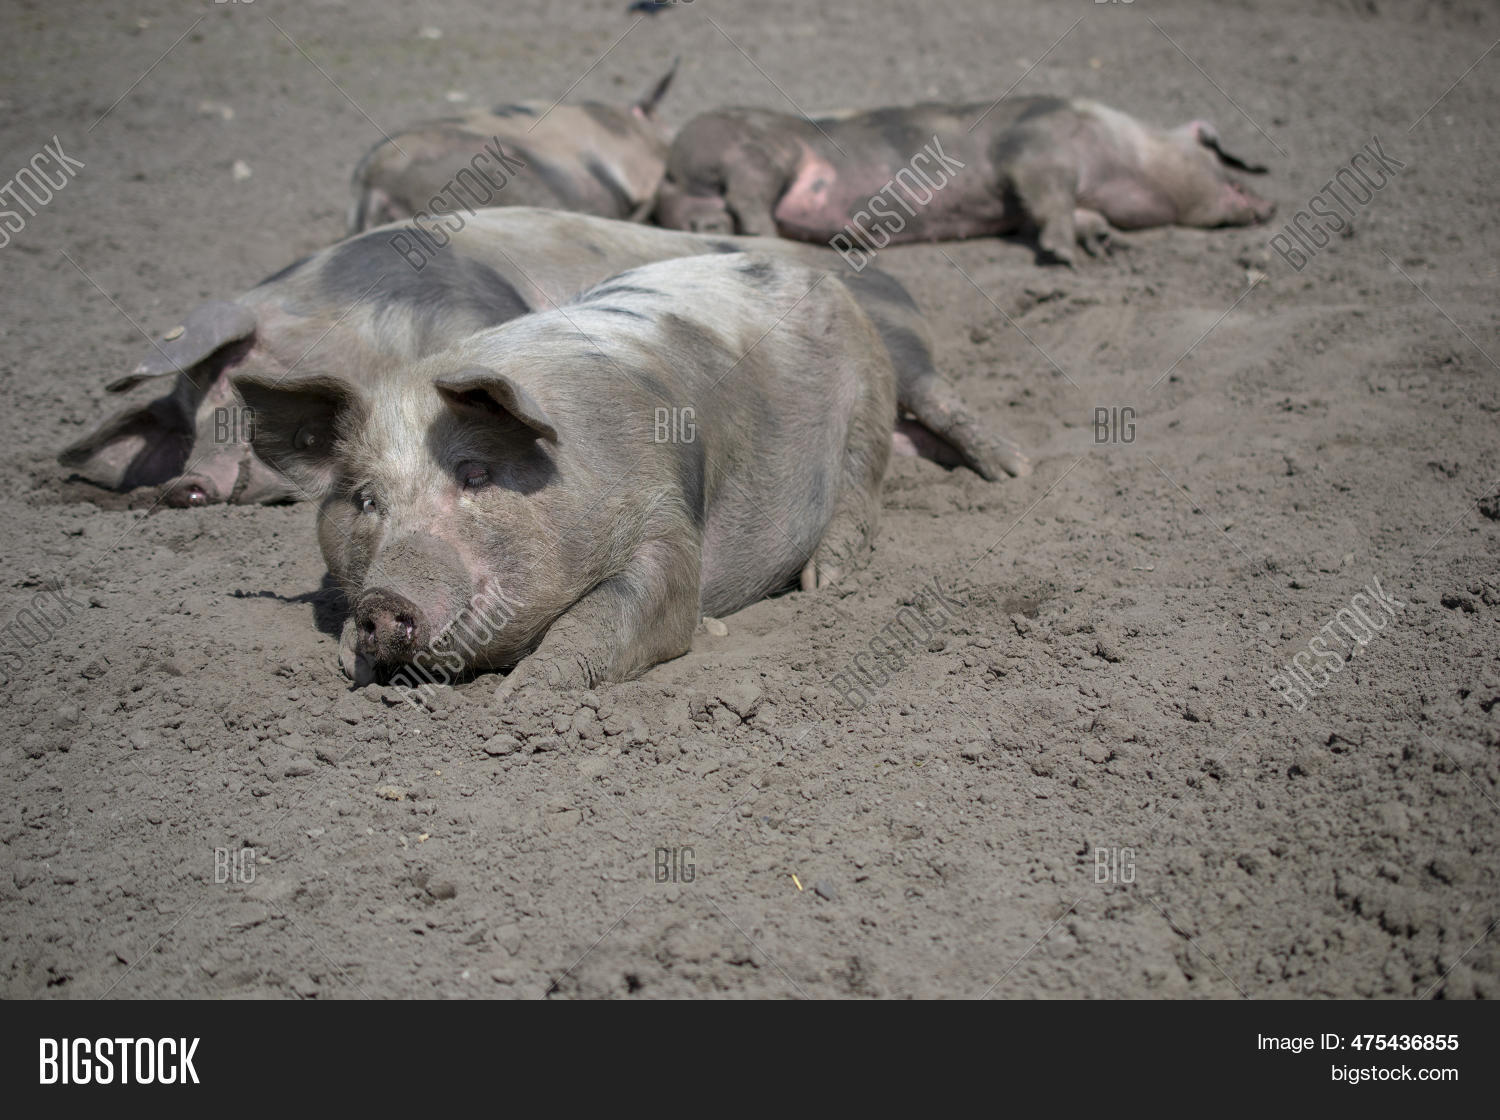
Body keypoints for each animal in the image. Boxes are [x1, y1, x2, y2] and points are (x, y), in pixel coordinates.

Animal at [58, 209, 1027, 508]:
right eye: (178, 413)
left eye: (225, 381)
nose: (180, 482)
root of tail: (893, 285)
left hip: (907, 356)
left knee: (941, 400)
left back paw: (1012, 473)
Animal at [232, 253, 897, 689]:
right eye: (368, 499)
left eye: (475, 475)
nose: (383, 600)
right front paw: (352, 661)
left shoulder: (668, 521)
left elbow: (623, 610)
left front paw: (522, 695)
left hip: (870, 400)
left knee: (861, 489)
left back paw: (824, 583)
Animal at [655, 97, 1275, 266]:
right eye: (1218, 156)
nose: (1268, 206)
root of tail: (670, 167)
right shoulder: (1038, 149)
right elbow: (1050, 202)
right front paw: (1066, 257)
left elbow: (1078, 214)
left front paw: (1108, 247)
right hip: (761, 152)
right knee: (748, 192)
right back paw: (765, 232)